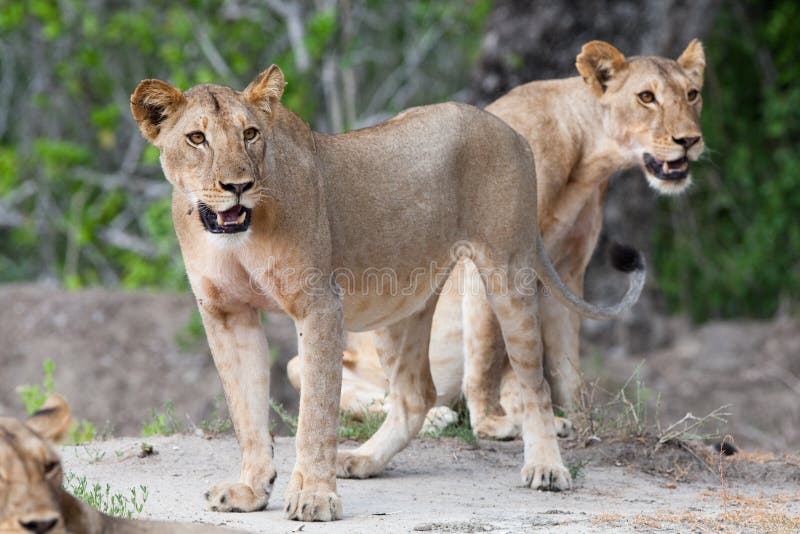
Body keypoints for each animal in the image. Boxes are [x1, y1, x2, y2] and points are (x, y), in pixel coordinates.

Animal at [129, 65, 643, 521]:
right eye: (197, 138)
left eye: (251, 133)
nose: (237, 186)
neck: (234, 235)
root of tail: (506, 128)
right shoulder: (226, 312)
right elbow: (247, 411)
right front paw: (251, 491)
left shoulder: (319, 306)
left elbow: (315, 413)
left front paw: (314, 497)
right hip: (398, 303)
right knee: (417, 394)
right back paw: (364, 460)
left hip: (507, 272)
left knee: (534, 382)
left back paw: (546, 467)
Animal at [291, 39, 706, 439]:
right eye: (646, 97)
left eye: (693, 94)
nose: (690, 140)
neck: (584, 162)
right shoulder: (486, 262)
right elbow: (490, 352)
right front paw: (492, 422)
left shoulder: (567, 271)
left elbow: (564, 361)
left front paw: (574, 421)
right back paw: (434, 417)